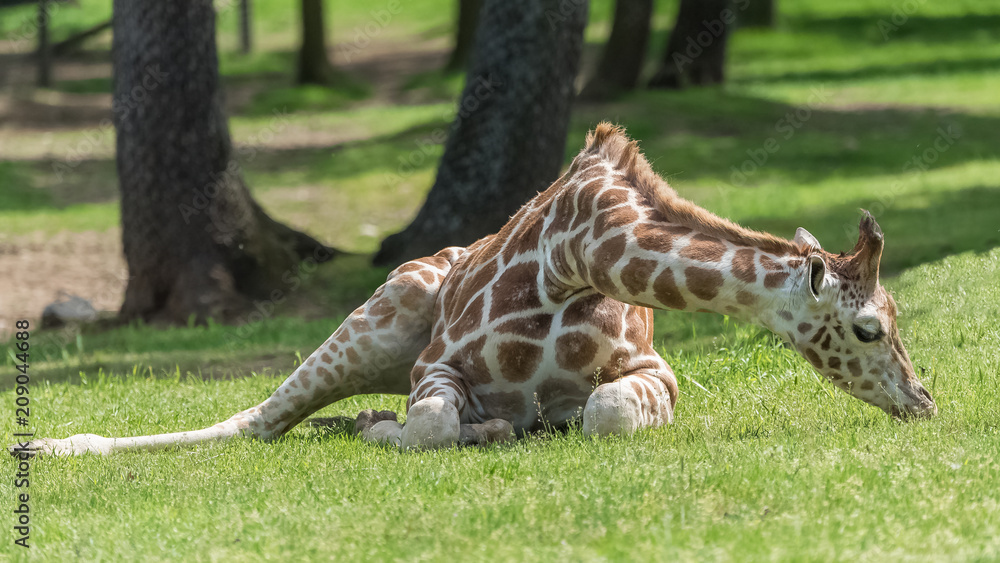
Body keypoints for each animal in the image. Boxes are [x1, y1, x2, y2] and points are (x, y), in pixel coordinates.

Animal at [16, 123, 936, 456]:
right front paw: (393, 425)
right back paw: (47, 446)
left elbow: (603, 410)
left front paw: (532, 419)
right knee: (257, 419)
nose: (923, 398)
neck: (581, 254)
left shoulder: (655, 370)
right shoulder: (434, 363)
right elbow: (425, 423)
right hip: (381, 314)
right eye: (869, 327)